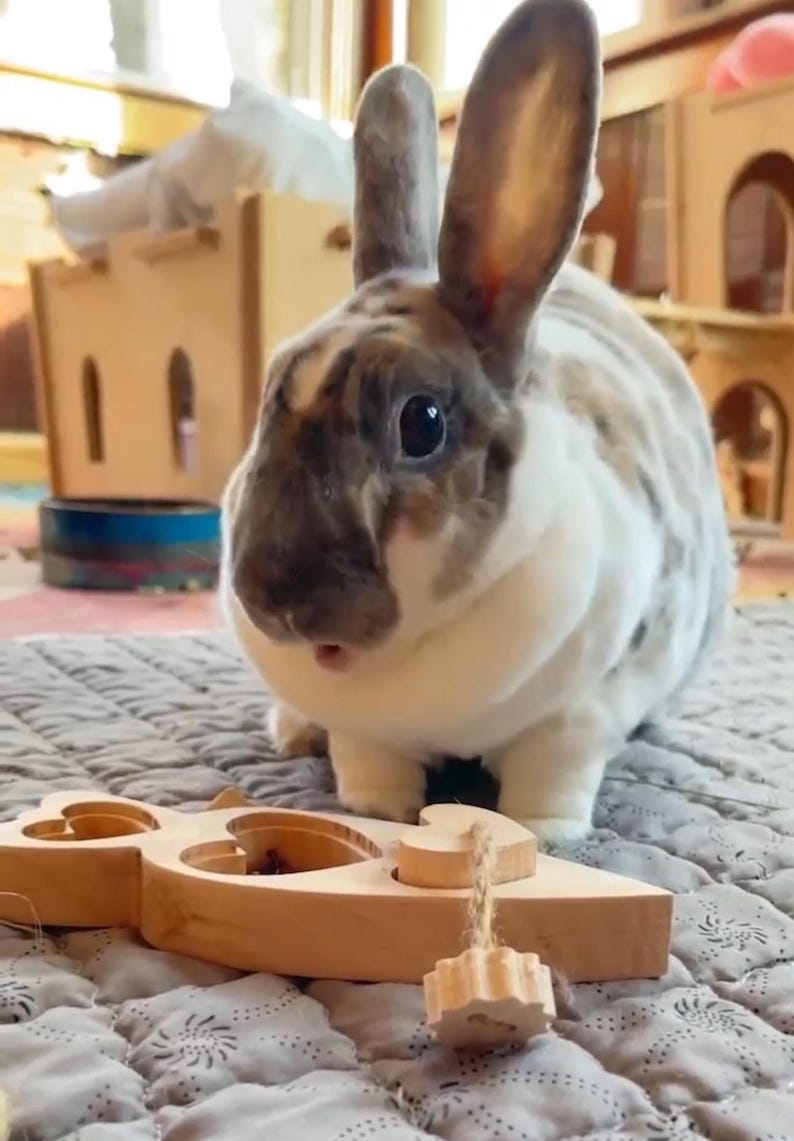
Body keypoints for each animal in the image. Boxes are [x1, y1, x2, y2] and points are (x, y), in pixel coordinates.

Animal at [220, 0, 734, 845]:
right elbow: (368, 764)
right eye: (272, 385)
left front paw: (546, 834)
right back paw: (293, 731)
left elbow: (551, 778)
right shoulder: (367, 732)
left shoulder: (576, 720)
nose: (274, 600)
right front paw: (379, 811)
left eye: (422, 422)